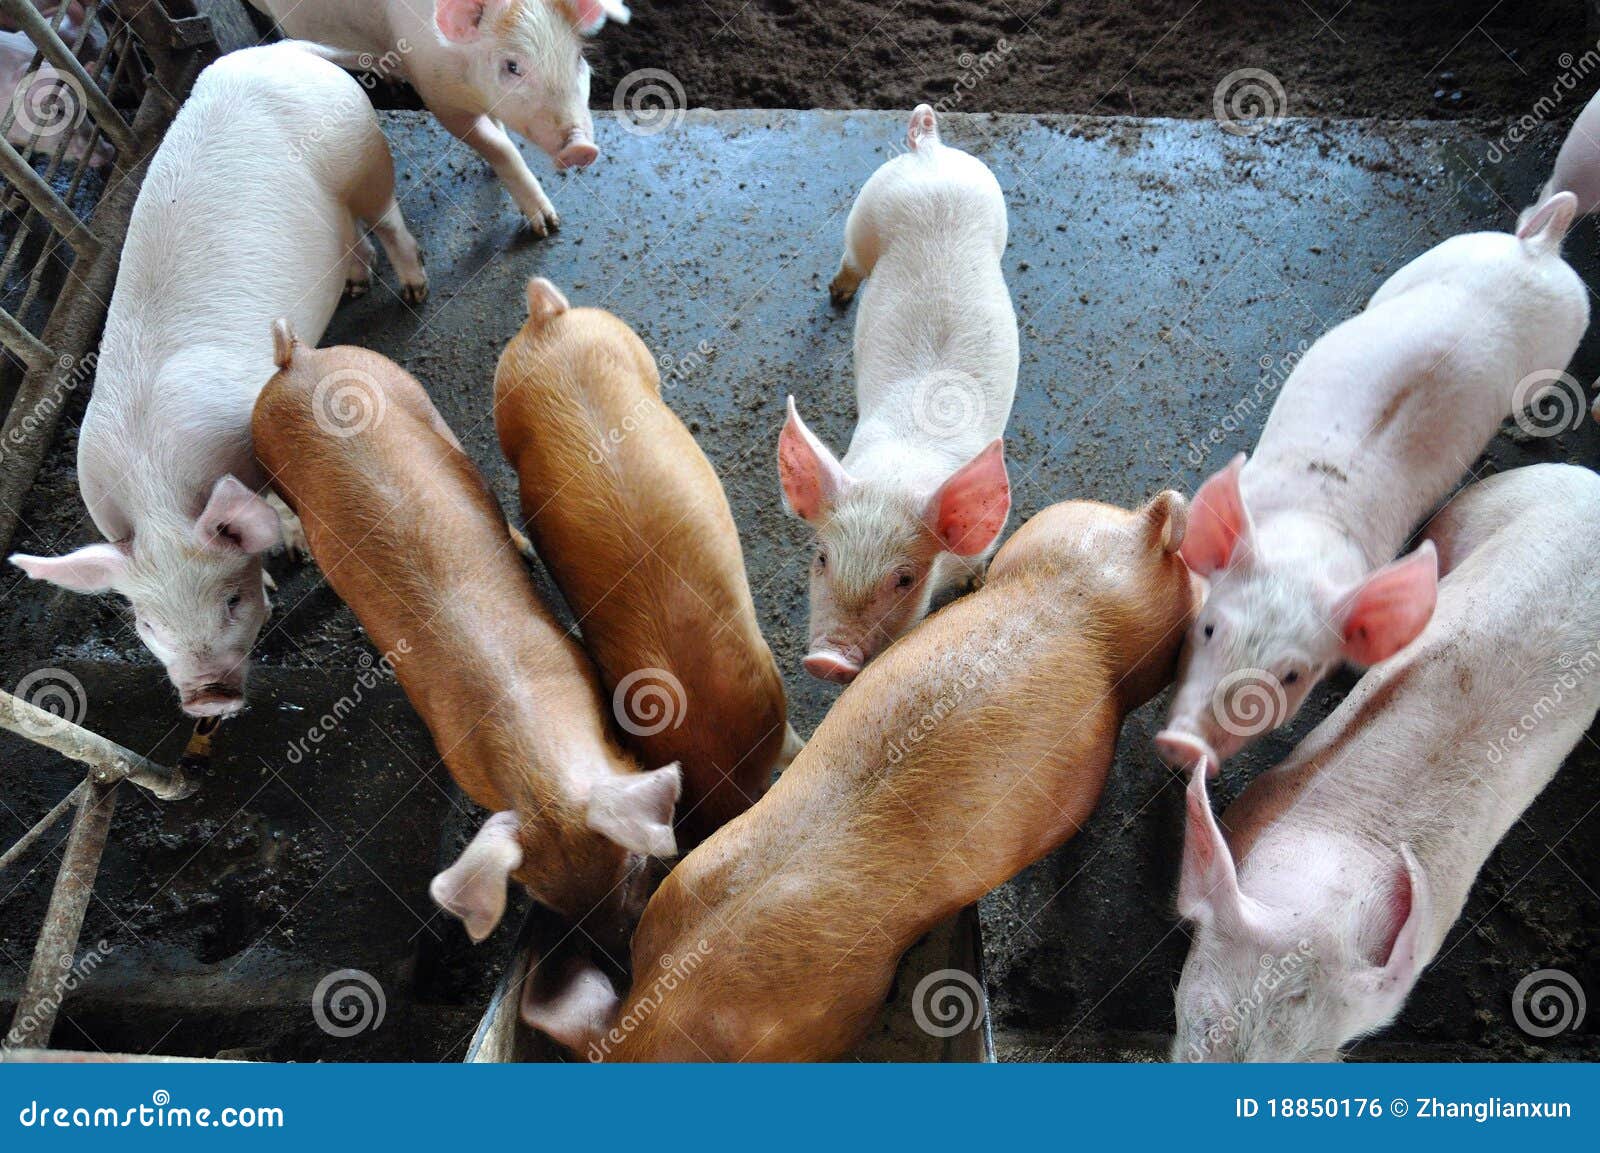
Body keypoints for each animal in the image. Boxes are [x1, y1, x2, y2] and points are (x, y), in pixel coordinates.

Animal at [8, 43, 428, 717]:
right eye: (148, 625)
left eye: (231, 602)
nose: (207, 699)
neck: (157, 494)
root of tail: (281, 49)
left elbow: (275, 503)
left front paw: (290, 549)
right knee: (351, 242)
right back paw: (357, 285)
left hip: (364, 155)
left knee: (388, 221)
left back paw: (415, 292)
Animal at [250, 0, 627, 236]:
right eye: (512, 66)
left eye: (578, 59)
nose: (582, 148)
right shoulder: (437, 97)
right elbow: (497, 146)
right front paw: (547, 227)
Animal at [254, 328, 681, 1040]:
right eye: (539, 897)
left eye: (630, 869)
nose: (619, 964)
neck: (535, 751)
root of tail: (297, 362)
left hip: (410, 394)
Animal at [779, 104, 1017, 684]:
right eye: (821, 558)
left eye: (904, 579)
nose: (827, 658)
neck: (898, 471)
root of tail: (928, 151)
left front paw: (976, 587)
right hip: (865, 213)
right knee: (851, 260)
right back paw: (837, 297)